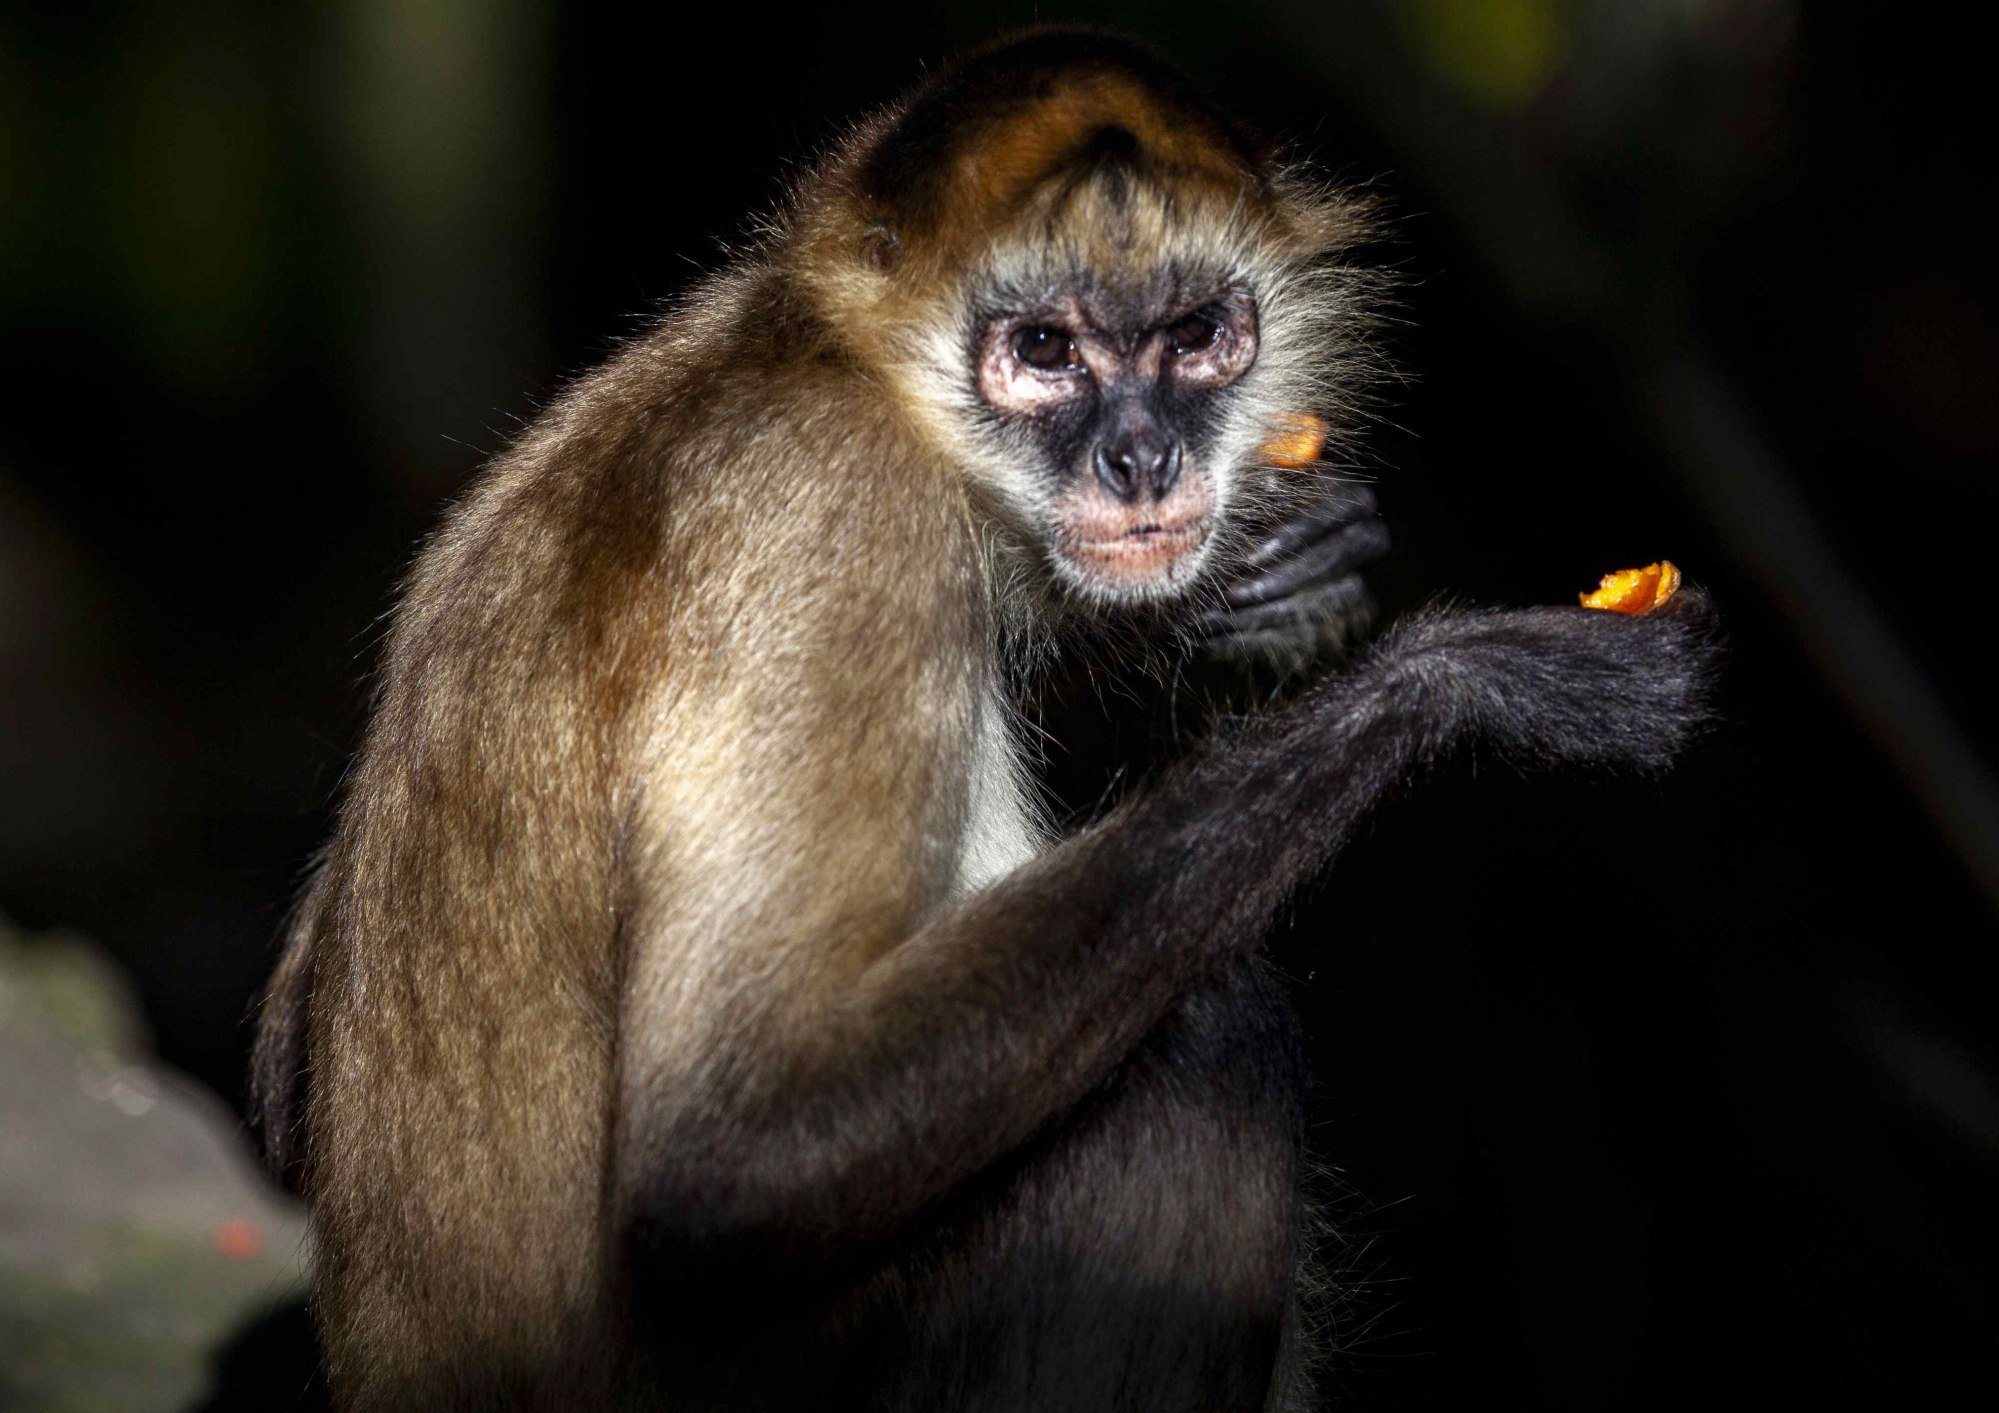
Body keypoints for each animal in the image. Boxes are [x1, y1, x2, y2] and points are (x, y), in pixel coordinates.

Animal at [250, 30, 1717, 1413]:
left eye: (1196, 337)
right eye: (1045, 354)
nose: (1143, 461)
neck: (806, 360)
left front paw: (1252, 592)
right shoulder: (839, 516)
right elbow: (725, 1162)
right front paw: (1470, 677)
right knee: (1206, 1061)